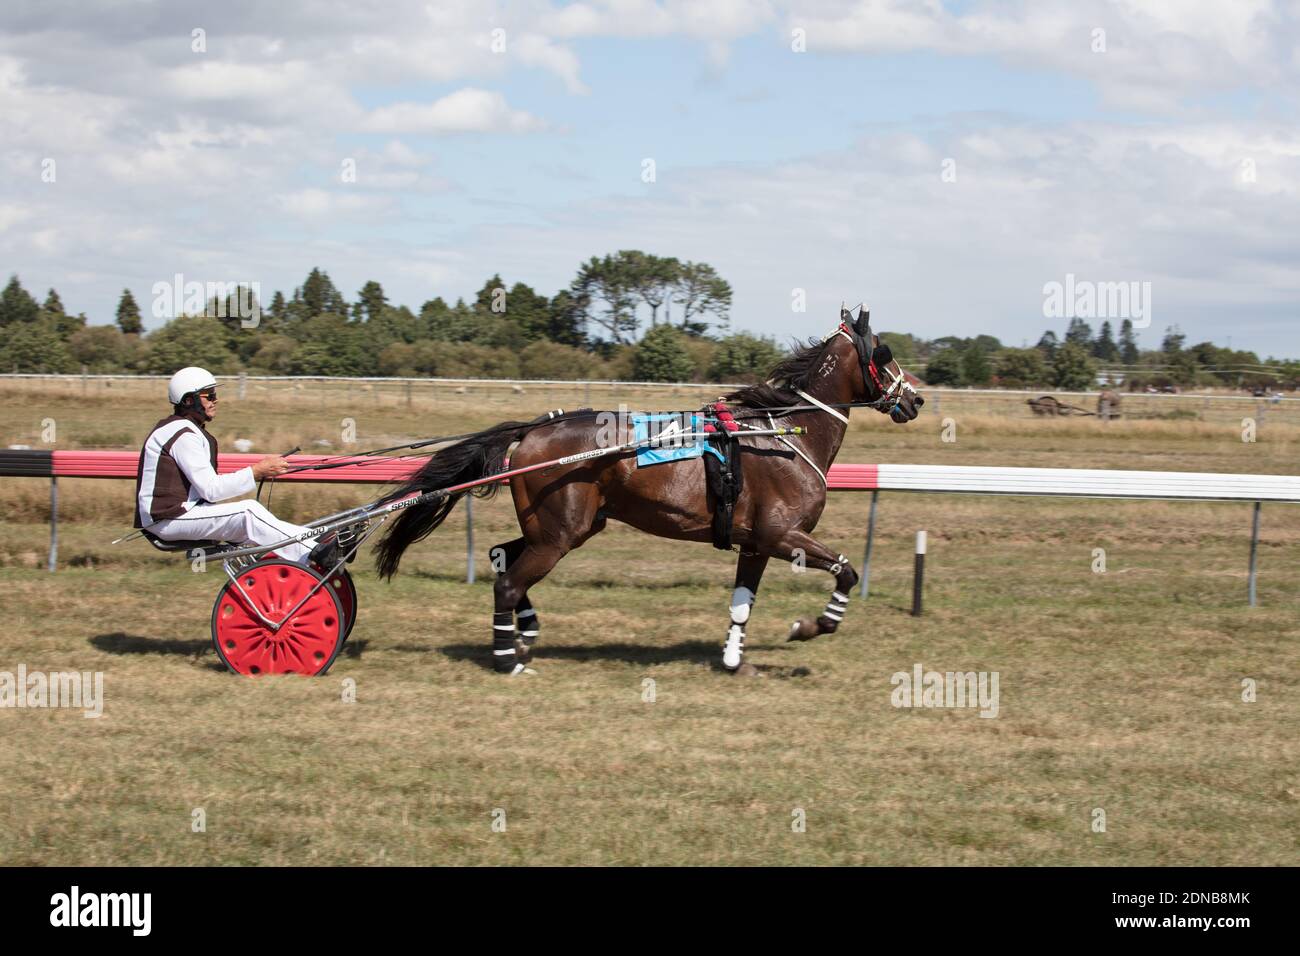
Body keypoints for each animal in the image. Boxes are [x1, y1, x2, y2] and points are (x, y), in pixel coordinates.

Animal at [373, 306, 925, 674]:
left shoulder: (755, 542)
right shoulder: (781, 534)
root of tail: (532, 431)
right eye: (884, 353)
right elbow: (846, 571)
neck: (782, 434)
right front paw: (811, 626)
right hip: (559, 533)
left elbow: (742, 602)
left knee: (501, 555)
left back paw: (524, 630)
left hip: (561, 528)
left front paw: (733, 658)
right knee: (507, 581)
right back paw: (509, 656)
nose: (915, 399)